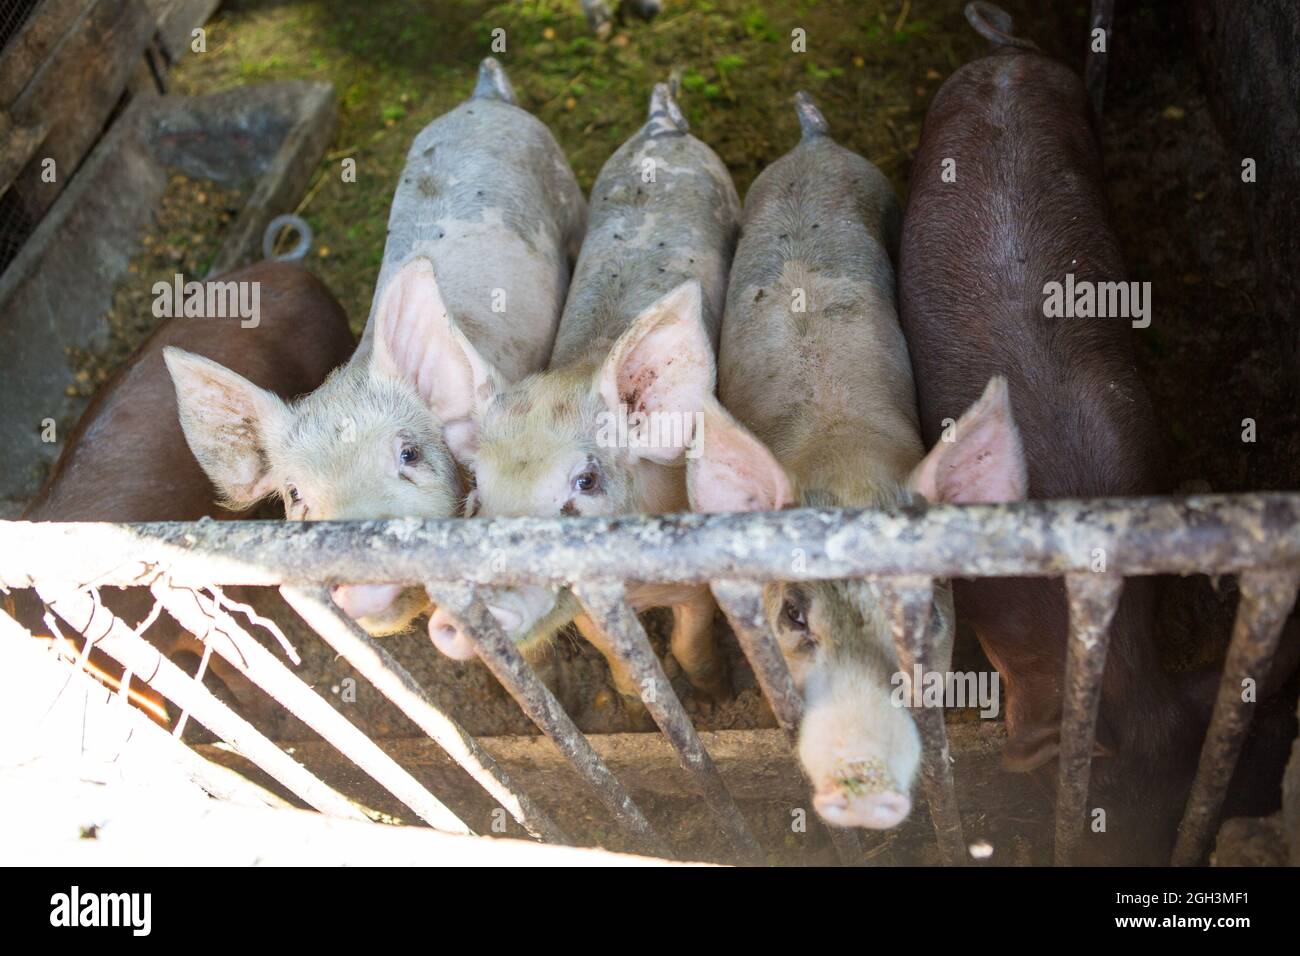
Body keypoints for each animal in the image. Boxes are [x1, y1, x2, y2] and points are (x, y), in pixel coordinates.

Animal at [425, 81, 741, 704]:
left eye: (586, 481)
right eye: (478, 493)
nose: (465, 616)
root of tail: (661, 127)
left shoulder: (695, 580)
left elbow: (689, 639)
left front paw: (717, 695)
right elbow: (618, 654)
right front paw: (631, 701)